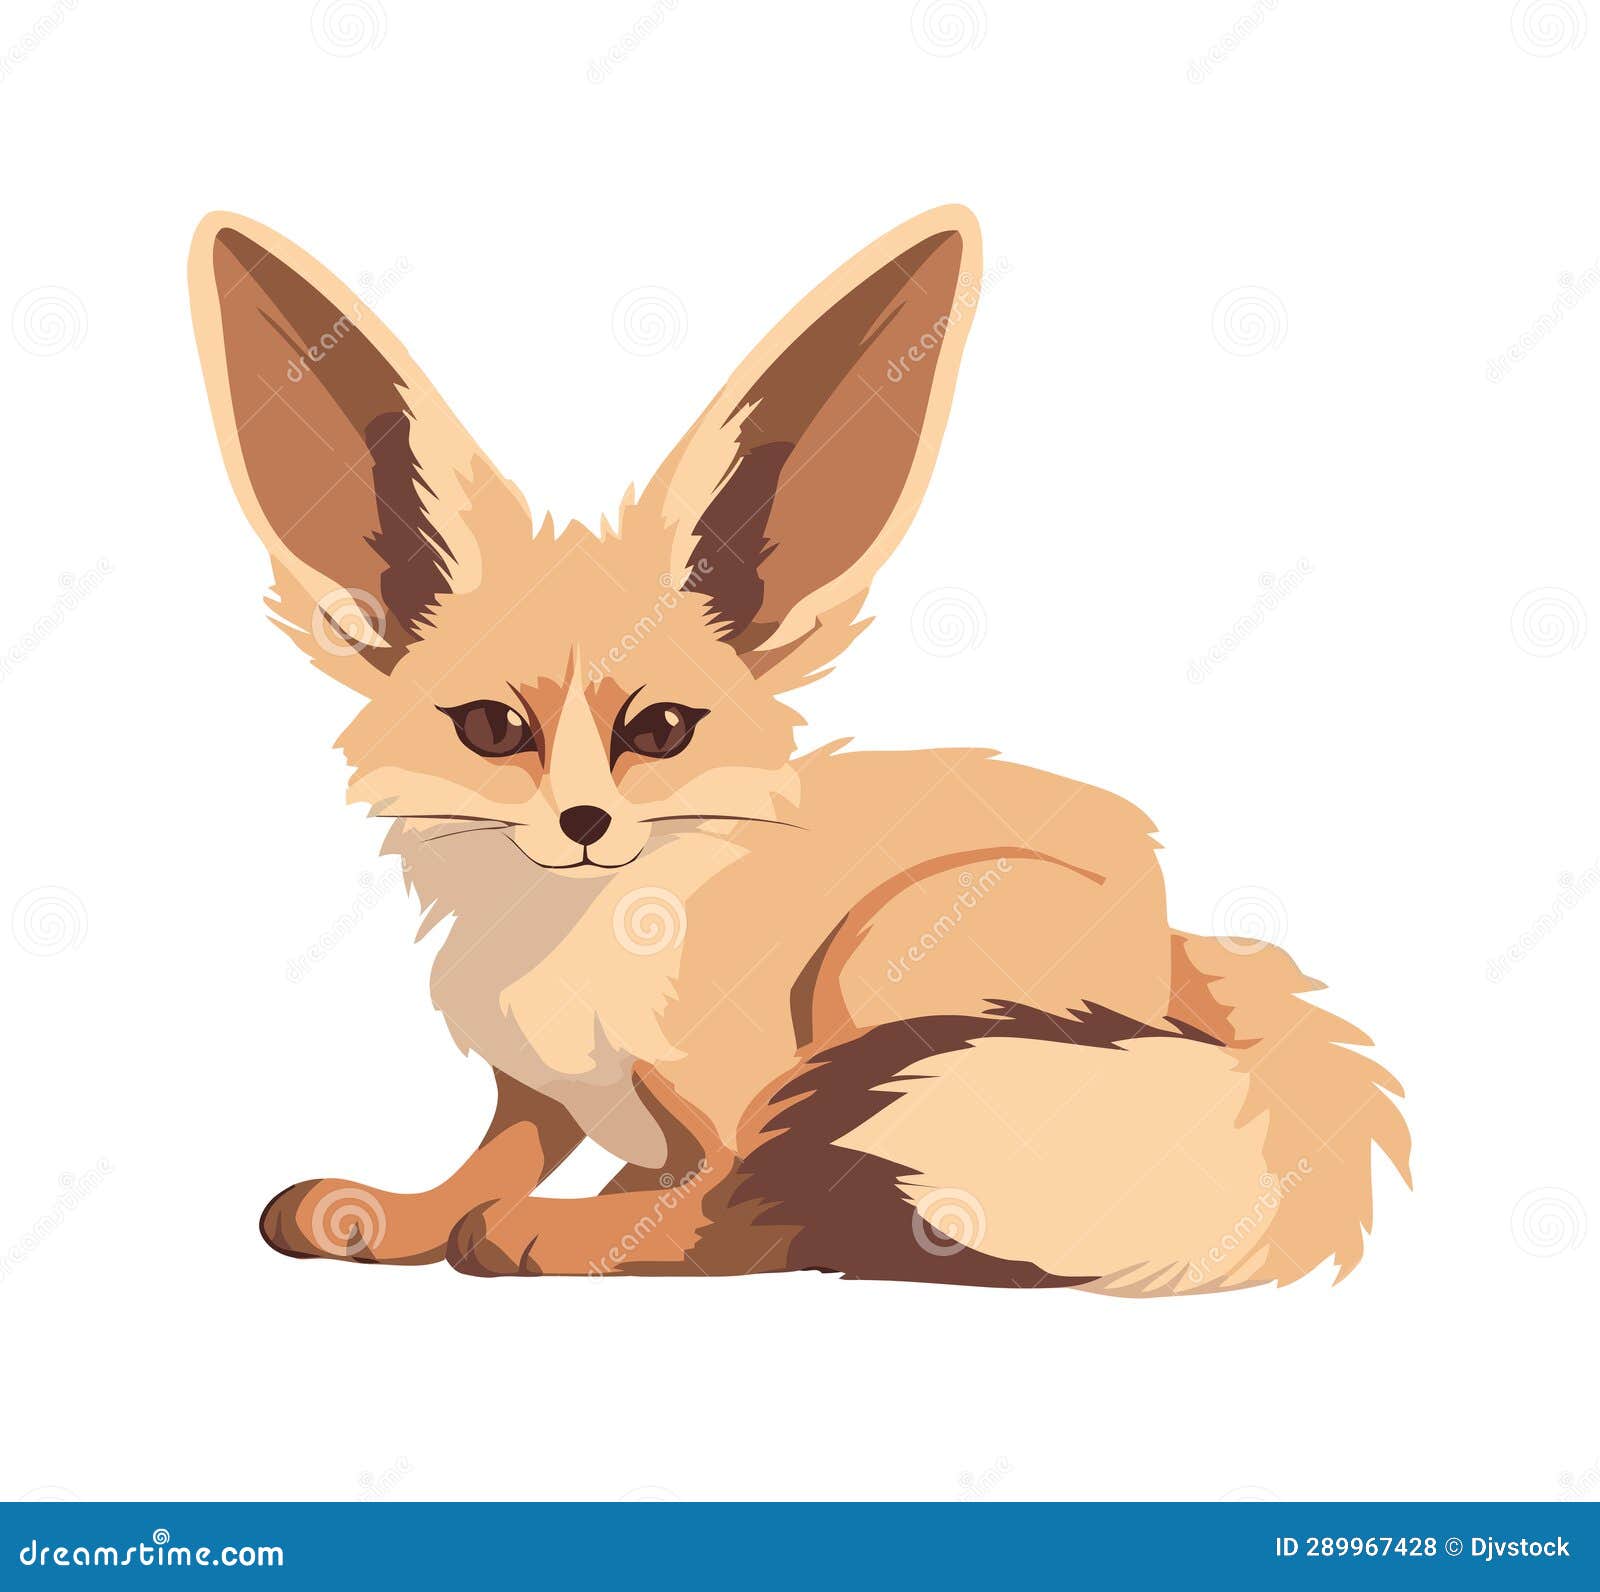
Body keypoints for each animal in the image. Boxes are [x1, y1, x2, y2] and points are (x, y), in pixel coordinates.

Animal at [189, 206, 1410, 1292]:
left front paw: (565, 1234)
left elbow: (719, 1214)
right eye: (494, 729)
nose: (585, 826)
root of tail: (1180, 944)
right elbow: (491, 1163)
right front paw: (399, 1214)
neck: (575, 961)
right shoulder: (534, 1093)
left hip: (886, 957)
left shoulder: (748, 1114)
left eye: (659, 731)